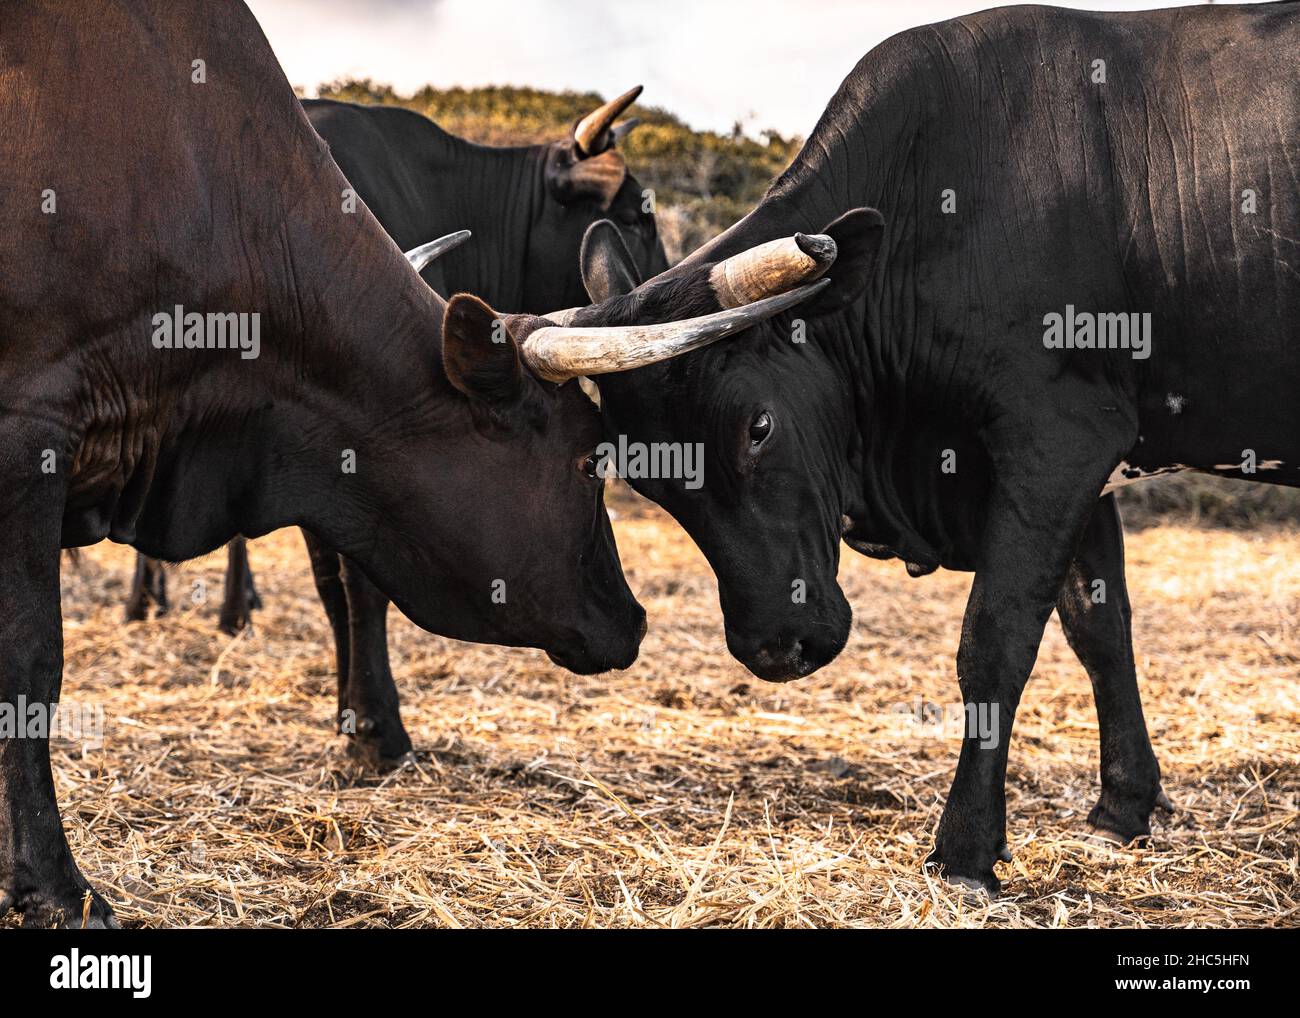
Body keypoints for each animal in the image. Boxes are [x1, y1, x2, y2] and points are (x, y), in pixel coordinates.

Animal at [569, 1, 1300, 895]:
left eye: (758, 427)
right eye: (644, 475)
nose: (776, 646)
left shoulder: (1057, 438)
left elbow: (995, 640)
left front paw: (965, 850)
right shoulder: (1085, 459)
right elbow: (1098, 627)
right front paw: (1121, 809)